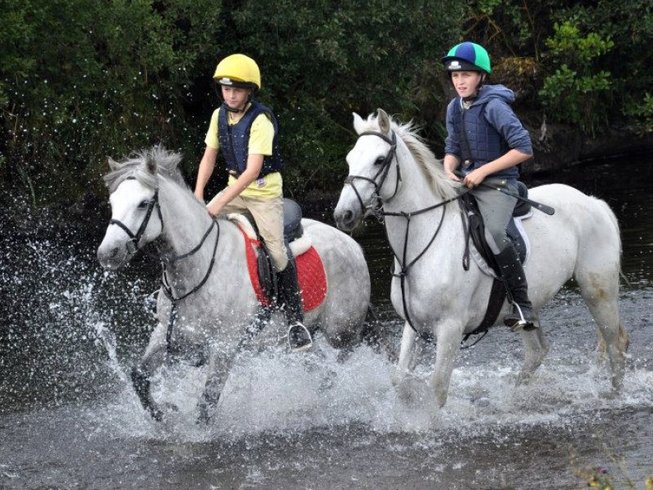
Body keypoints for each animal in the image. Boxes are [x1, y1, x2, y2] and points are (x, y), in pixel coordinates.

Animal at [97, 146, 371, 421]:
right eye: (113, 202)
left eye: (143, 204)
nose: (107, 253)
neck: (197, 267)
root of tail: (352, 244)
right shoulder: (165, 333)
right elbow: (139, 377)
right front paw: (163, 414)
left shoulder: (224, 347)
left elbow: (206, 404)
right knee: (323, 368)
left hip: (342, 330)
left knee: (348, 354)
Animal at [333, 109, 628, 409]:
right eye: (349, 159)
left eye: (379, 160)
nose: (343, 215)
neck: (422, 241)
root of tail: (593, 201)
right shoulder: (413, 324)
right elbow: (400, 378)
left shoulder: (450, 328)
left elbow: (438, 389)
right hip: (530, 306)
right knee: (538, 352)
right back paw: (511, 400)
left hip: (597, 291)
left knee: (615, 345)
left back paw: (614, 397)